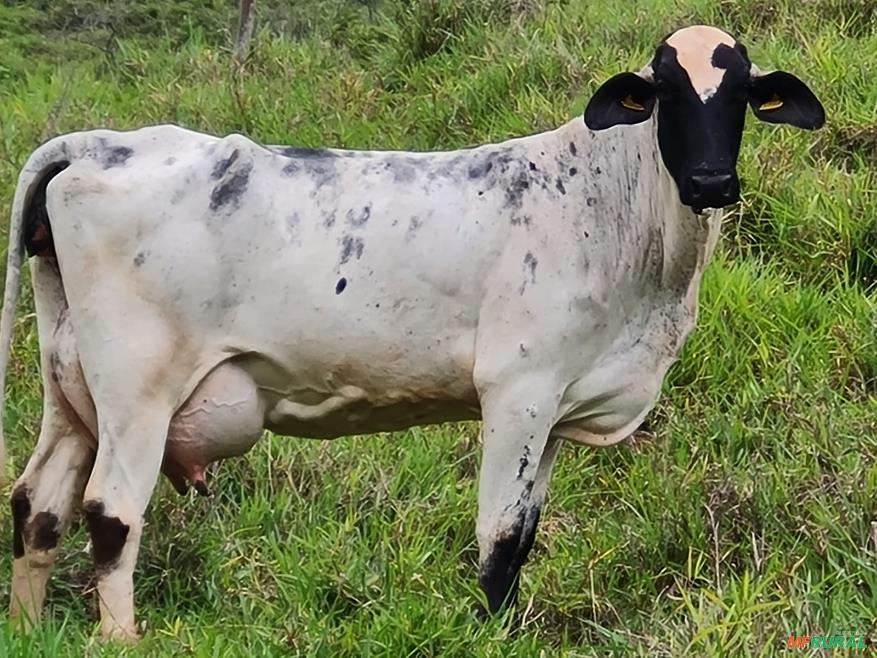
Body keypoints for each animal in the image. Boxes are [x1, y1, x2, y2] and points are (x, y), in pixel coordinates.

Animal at [1, 25, 823, 640]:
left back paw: (30, 627)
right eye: (663, 93)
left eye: (742, 96)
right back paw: (121, 637)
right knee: (112, 514)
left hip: (71, 388)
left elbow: (524, 536)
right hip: (136, 389)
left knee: (38, 504)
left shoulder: (558, 408)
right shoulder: (518, 391)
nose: (712, 181)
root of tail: (96, 143)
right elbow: (498, 539)